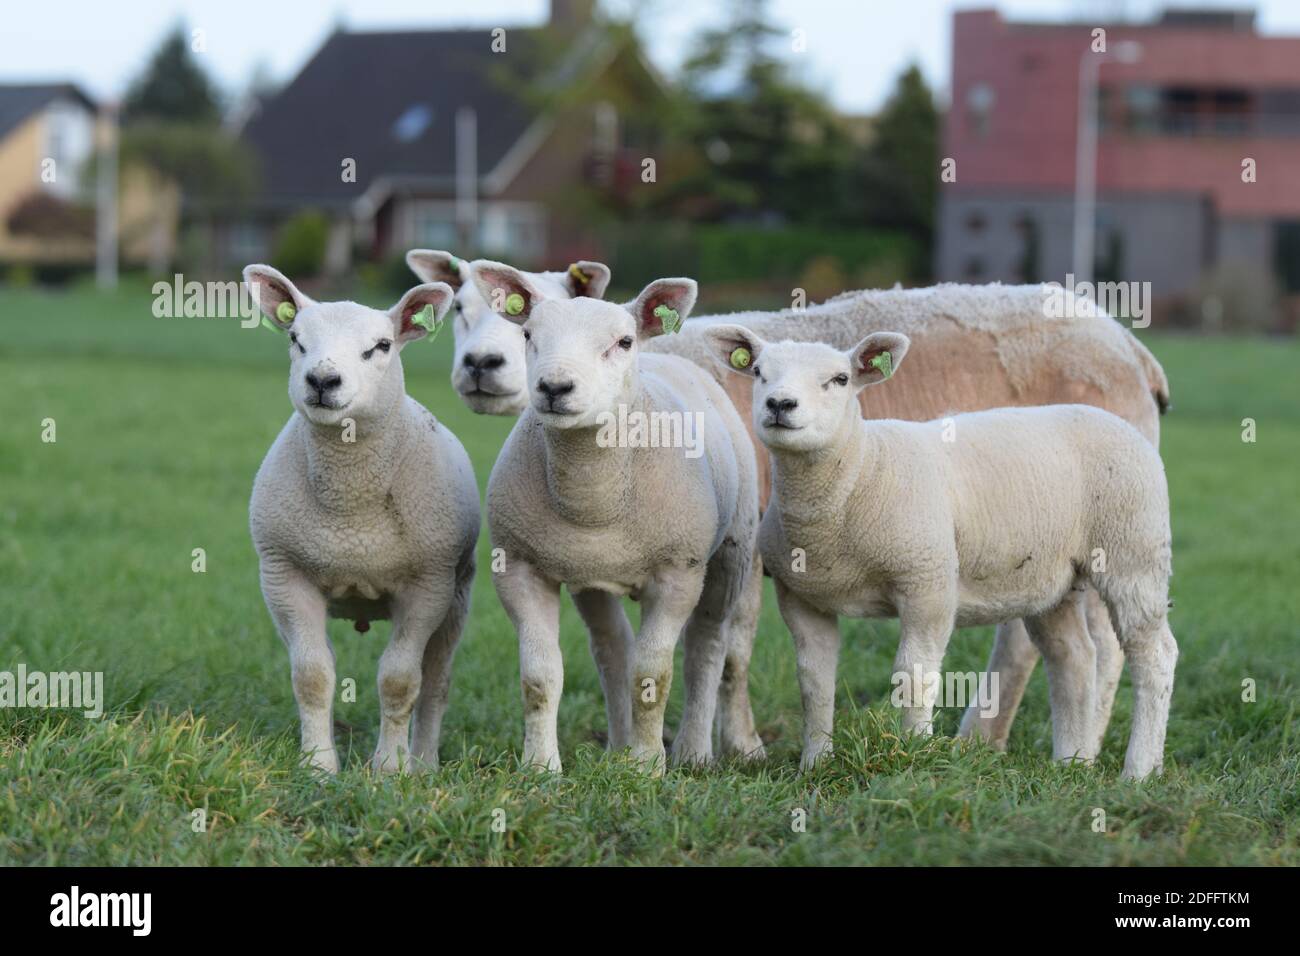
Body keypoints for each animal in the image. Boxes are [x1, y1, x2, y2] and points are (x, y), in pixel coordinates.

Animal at [244, 265, 480, 774]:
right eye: (295, 338)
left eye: (382, 345)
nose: (322, 379)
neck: (350, 510)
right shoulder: (285, 577)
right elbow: (312, 675)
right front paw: (318, 765)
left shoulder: (428, 586)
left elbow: (400, 680)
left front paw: (389, 769)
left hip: (458, 594)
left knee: (436, 682)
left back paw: (424, 763)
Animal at [469, 259, 759, 774]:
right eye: (527, 335)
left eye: (622, 342)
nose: (554, 387)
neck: (595, 500)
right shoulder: (520, 568)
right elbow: (539, 677)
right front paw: (540, 767)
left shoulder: (677, 573)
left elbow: (653, 675)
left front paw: (647, 767)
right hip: (592, 580)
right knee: (612, 650)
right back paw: (619, 746)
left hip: (732, 551)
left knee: (706, 647)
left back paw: (693, 752)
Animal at [701, 323, 1177, 780]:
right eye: (758, 372)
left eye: (840, 379)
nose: (780, 404)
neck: (858, 473)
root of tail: (1119, 422)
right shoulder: (802, 598)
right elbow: (814, 682)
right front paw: (815, 764)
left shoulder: (926, 582)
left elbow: (913, 676)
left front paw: (913, 754)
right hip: (1052, 578)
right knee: (1073, 657)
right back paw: (1071, 764)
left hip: (1133, 550)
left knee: (1152, 654)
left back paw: (1138, 771)